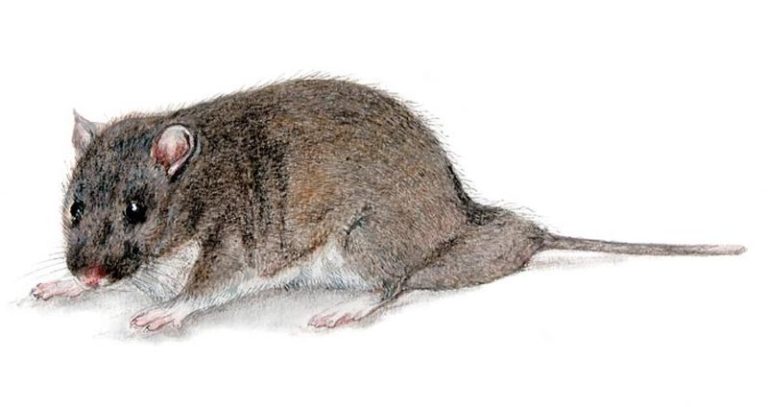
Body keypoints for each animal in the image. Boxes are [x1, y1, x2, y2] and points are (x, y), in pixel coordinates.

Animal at [30, 79, 745, 331]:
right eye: (73, 208)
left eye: (136, 211)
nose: (87, 274)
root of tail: (460, 219)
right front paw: (61, 288)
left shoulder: (230, 249)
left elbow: (207, 286)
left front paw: (165, 311)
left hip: (365, 240)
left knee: (395, 285)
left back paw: (347, 307)